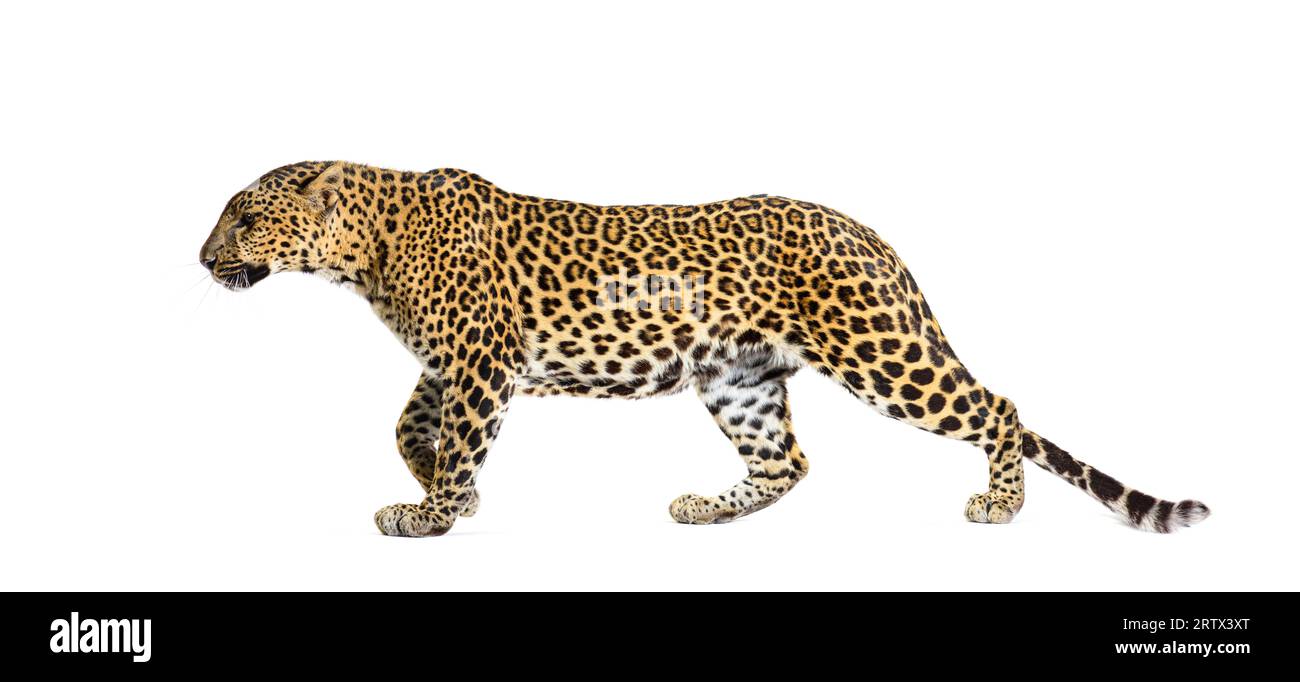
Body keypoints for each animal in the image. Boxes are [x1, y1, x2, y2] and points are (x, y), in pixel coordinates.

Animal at [198, 161, 1210, 537]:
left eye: (244, 219)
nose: (204, 259)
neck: (365, 250)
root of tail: (870, 235)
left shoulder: (482, 359)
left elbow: (452, 440)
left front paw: (434, 516)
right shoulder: (456, 362)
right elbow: (413, 428)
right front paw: (451, 493)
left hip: (879, 353)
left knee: (997, 404)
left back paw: (1000, 502)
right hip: (738, 375)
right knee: (788, 460)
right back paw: (708, 508)